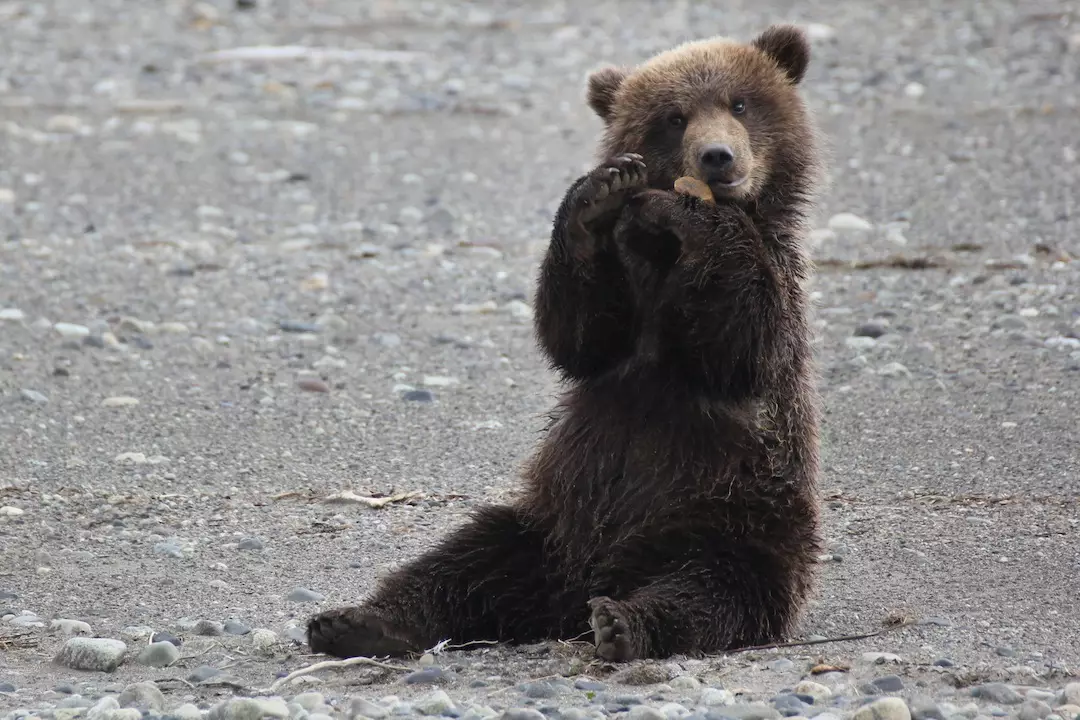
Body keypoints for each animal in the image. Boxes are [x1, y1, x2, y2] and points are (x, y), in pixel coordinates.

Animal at [308, 23, 820, 664]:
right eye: (673, 117)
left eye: (740, 103)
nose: (716, 157)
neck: (664, 259)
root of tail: (585, 582)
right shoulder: (627, 301)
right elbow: (578, 335)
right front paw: (598, 194)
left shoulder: (775, 286)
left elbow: (743, 349)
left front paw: (692, 208)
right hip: (548, 523)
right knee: (464, 562)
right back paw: (359, 621)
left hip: (736, 517)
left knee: (711, 588)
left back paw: (622, 623)